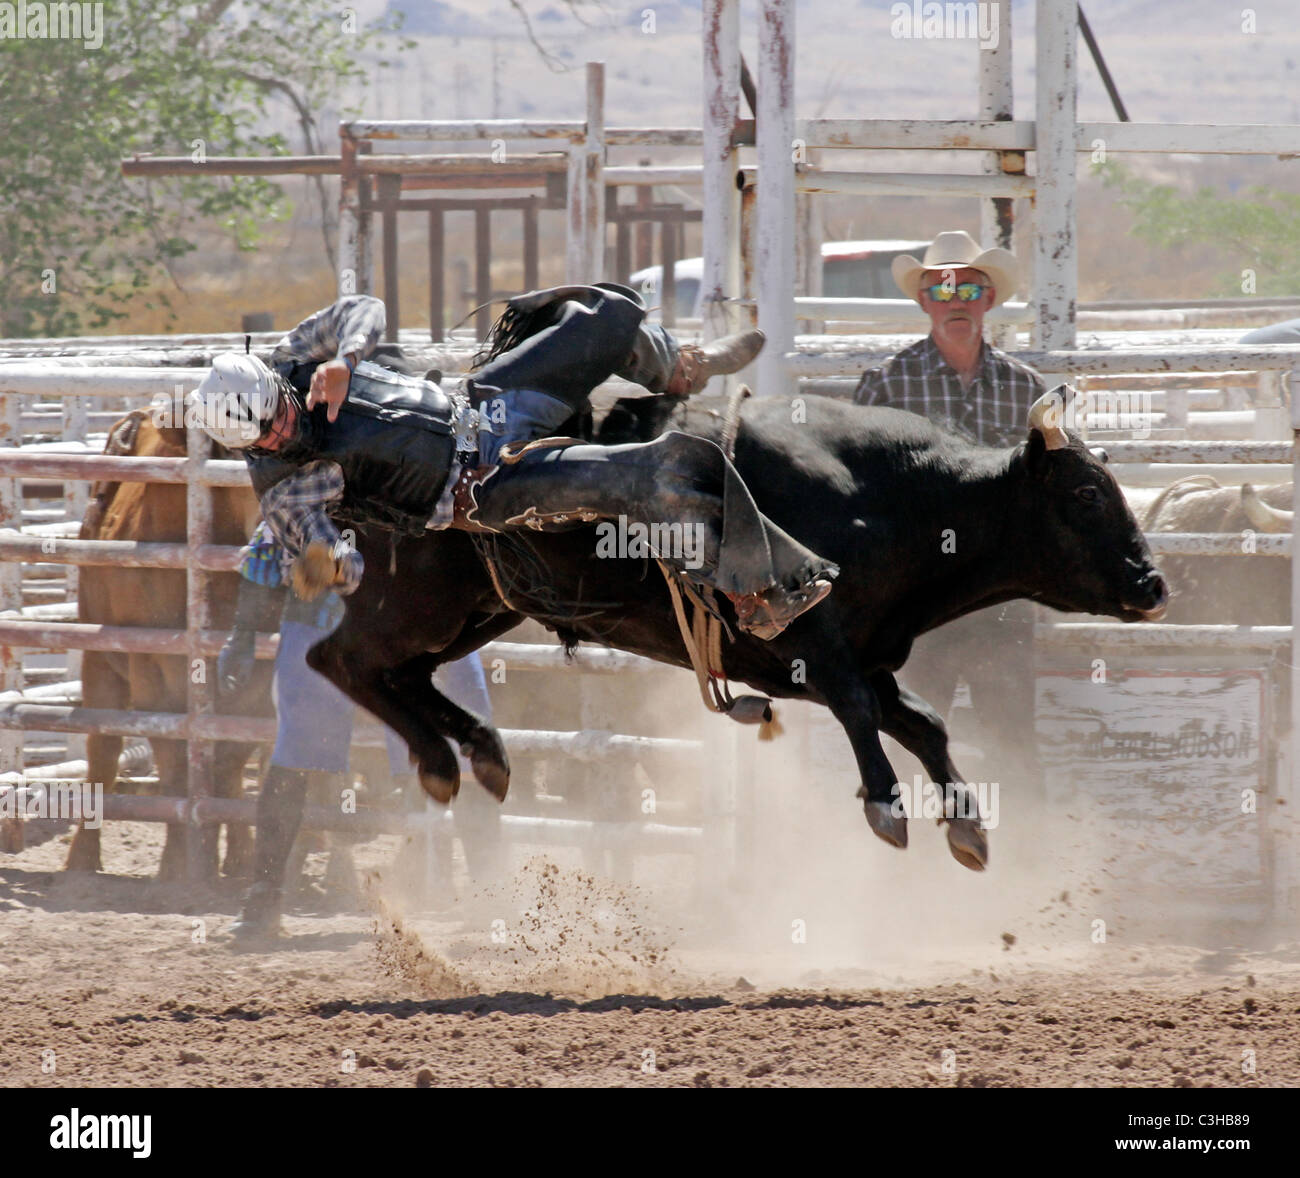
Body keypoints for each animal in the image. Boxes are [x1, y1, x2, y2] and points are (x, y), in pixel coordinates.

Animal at [65, 412, 272, 879]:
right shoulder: (153, 671)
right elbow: (177, 763)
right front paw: (178, 865)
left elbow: (230, 759)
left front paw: (225, 853)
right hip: (99, 659)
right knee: (102, 753)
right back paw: (81, 857)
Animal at [305, 387, 1168, 873]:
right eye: (1088, 494)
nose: (1153, 585)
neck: (891, 500)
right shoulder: (810, 650)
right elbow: (866, 713)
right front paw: (886, 808)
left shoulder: (842, 660)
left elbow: (922, 722)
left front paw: (967, 827)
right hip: (413, 604)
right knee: (336, 659)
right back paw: (440, 761)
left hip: (478, 612)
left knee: (397, 675)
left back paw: (478, 752)